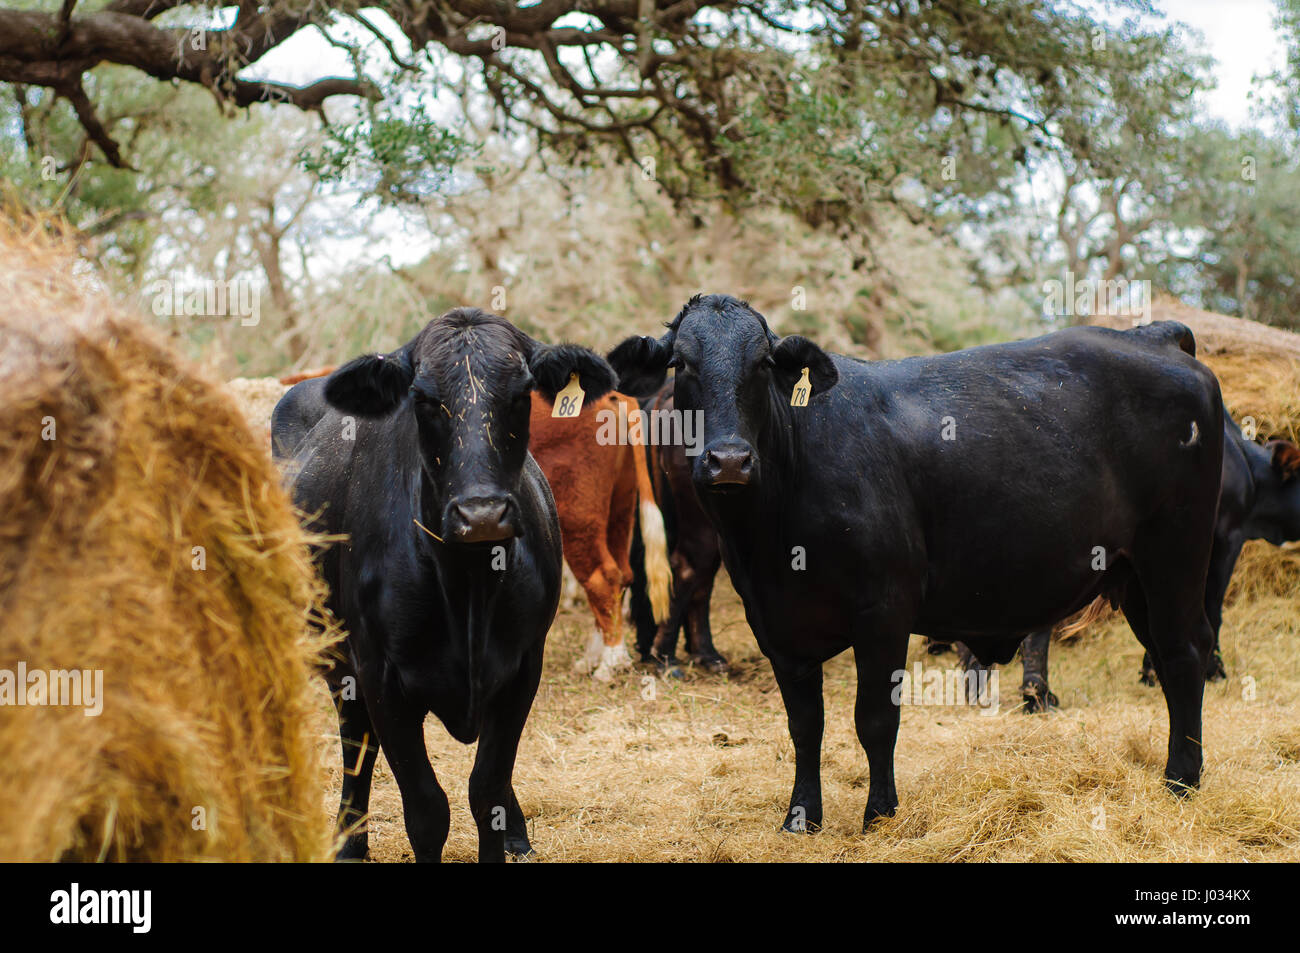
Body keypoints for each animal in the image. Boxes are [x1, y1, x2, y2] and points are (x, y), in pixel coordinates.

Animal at [271, 308, 615, 862]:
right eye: (423, 398)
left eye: (522, 394)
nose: (482, 514)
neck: (468, 584)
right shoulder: (379, 674)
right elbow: (426, 809)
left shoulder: (524, 668)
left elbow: (486, 790)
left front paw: (505, 831)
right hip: (336, 656)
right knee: (355, 742)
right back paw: (350, 841)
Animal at [528, 390, 672, 681]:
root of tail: (611, 395)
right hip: (620, 507)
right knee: (621, 575)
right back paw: (594, 657)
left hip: (577, 514)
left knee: (602, 578)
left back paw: (611, 663)